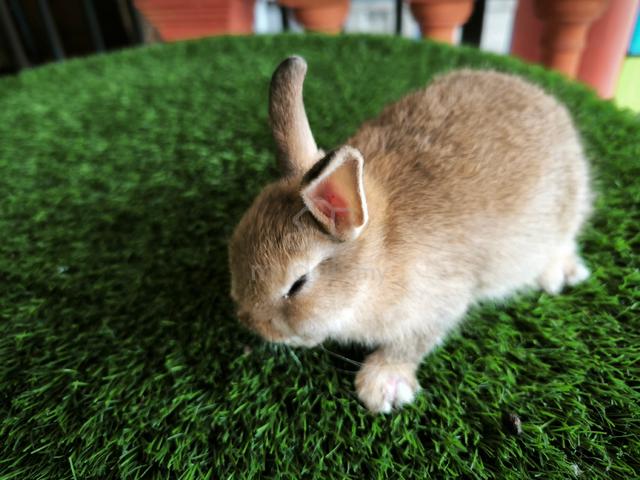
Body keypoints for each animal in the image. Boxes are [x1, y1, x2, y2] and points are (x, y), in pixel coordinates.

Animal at [228, 56, 591, 413]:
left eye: (298, 284)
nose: (251, 323)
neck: (378, 253)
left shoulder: (437, 303)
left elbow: (410, 345)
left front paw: (381, 386)